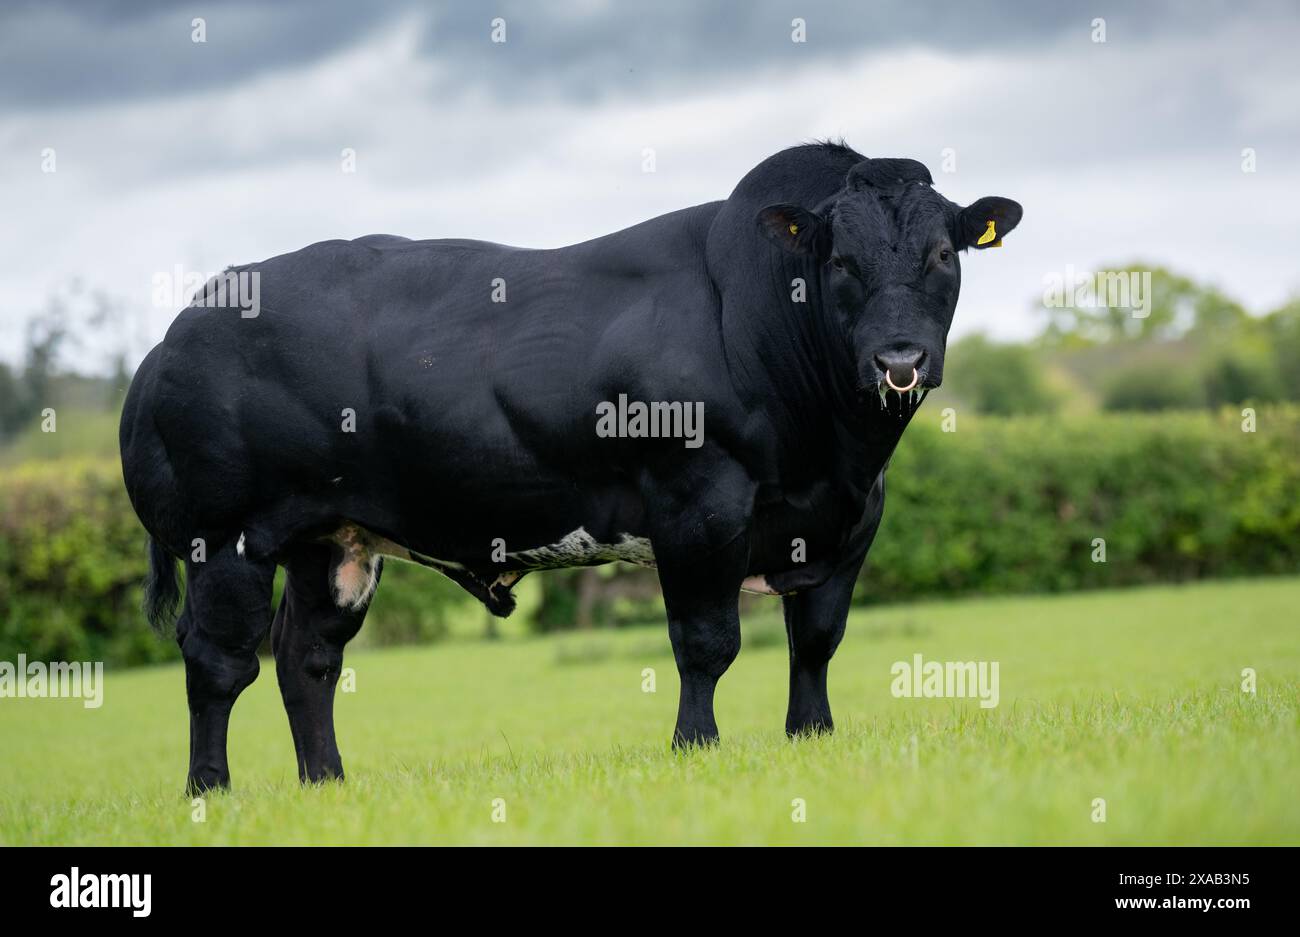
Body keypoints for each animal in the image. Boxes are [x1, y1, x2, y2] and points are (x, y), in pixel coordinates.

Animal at [119, 141, 1022, 793]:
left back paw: (326, 783)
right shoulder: (700, 505)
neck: (830, 450)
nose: (898, 358)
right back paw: (210, 788)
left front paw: (811, 736)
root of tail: (171, 336)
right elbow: (707, 642)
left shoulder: (851, 519)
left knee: (307, 657)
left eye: (943, 255)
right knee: (219, 659)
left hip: (330, 539)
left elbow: (817, 639)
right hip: (226, 537)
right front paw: (696, 744)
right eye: (840, 262)